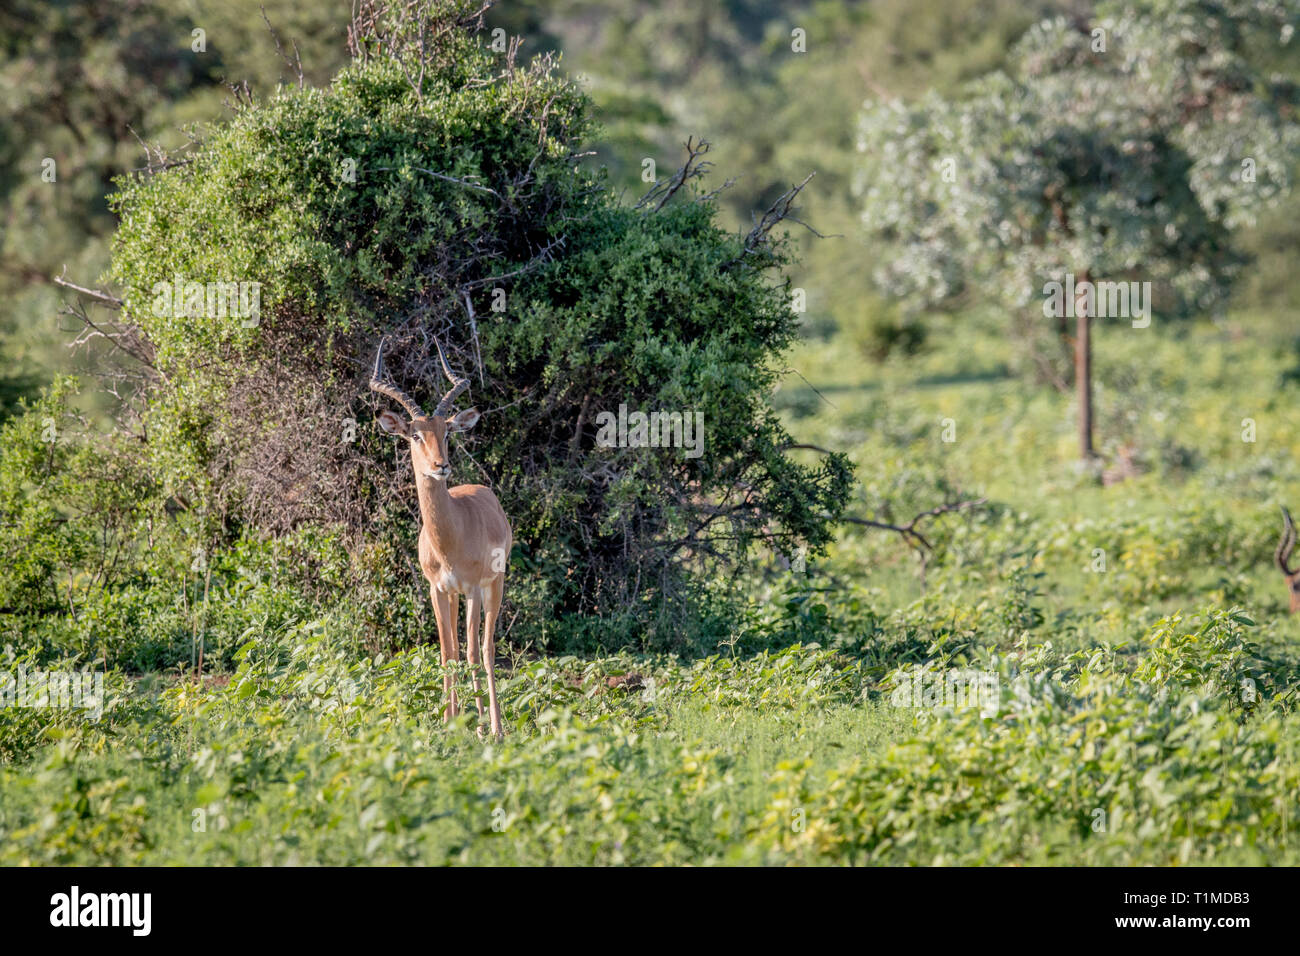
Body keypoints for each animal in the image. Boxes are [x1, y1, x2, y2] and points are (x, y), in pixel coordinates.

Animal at [370, 337, 512, 739]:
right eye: (415, 434)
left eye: (447, 432)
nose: (440, 466)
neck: (450, 538)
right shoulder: (438, 588)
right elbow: (447, 652)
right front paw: (449, 723)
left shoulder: (473, 588)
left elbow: (471, 653)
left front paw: (482, 728)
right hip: (452, 597)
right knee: (459, 648)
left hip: (494, 587)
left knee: (486, 649)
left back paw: (495, 727)